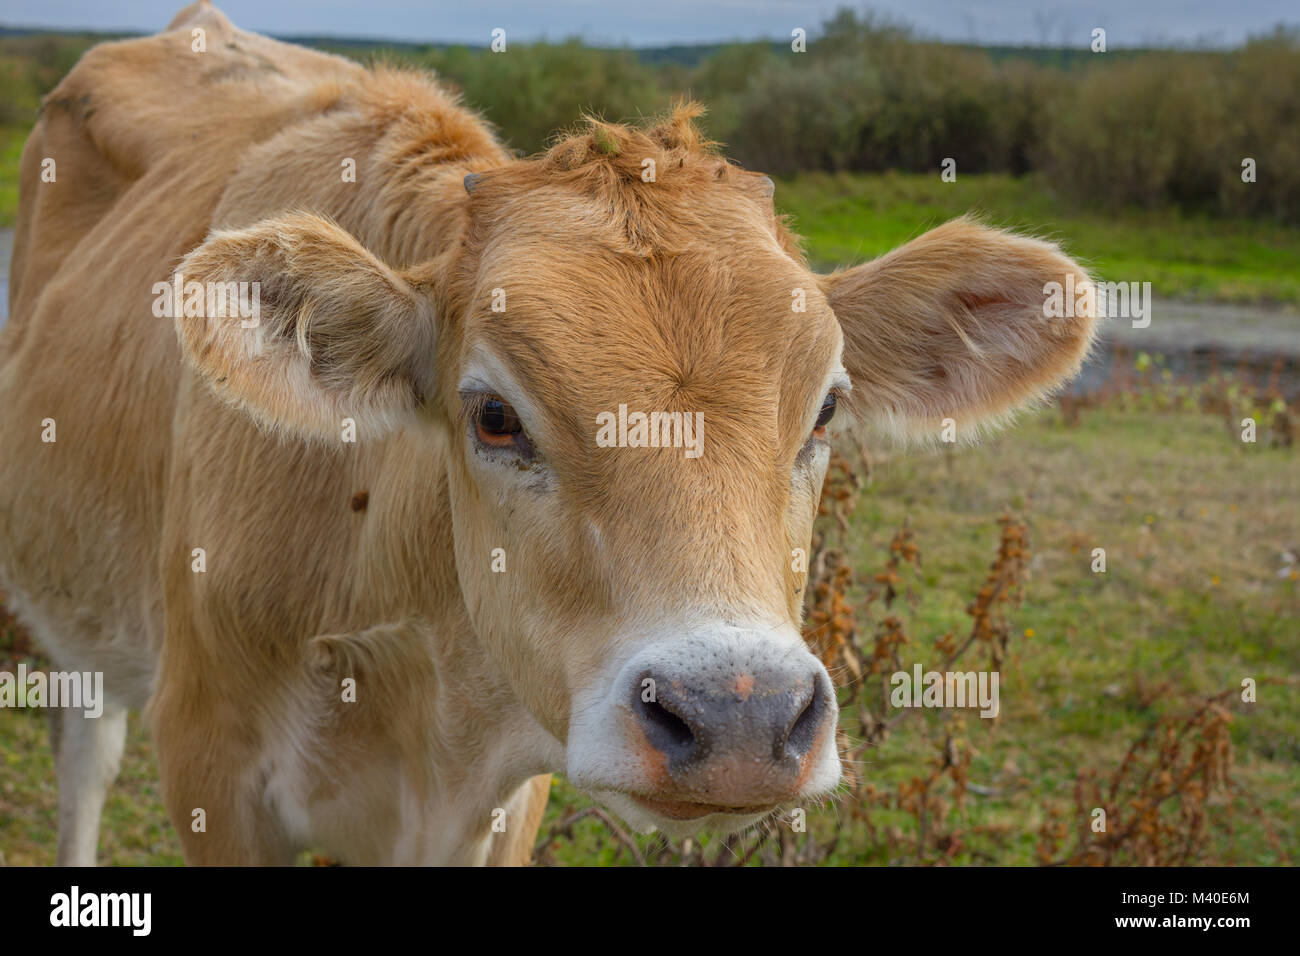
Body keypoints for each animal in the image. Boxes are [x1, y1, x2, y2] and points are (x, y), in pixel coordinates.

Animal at [0, 0, 1098, 865]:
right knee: (85, 753)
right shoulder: (209, 762)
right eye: (493, 414)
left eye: (826, 405)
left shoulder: (506, 796)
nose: (738, 716)